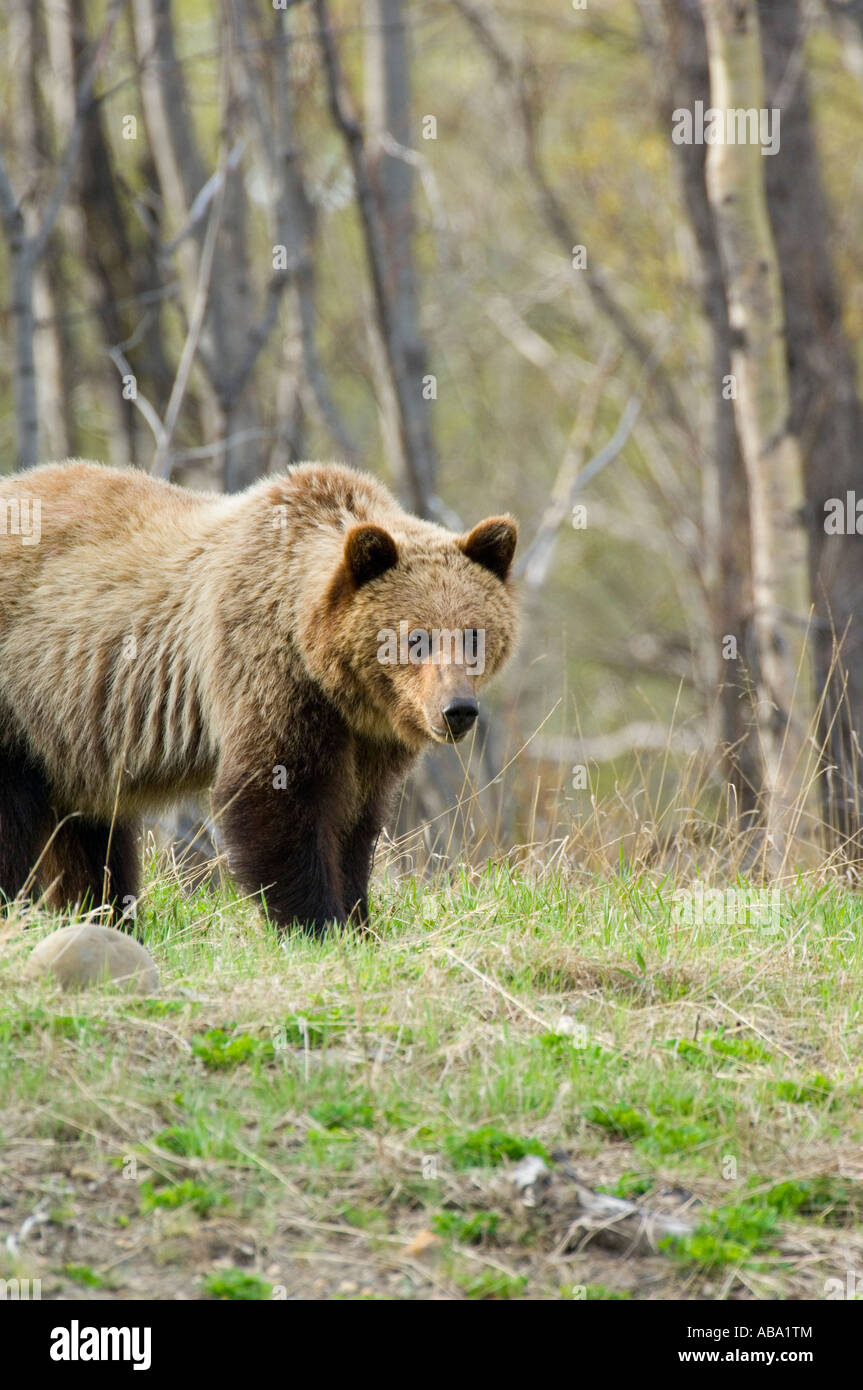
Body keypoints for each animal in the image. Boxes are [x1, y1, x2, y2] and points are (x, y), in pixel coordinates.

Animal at [0, 461, 518, 933]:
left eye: (473, 635)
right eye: (416, 639)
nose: (457, 710)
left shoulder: (367, 736)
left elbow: (356, 822)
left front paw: (358, 918)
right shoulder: (264, 672)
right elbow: (275, 799)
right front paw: (319, 924)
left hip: (70, 734)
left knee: (88, 833)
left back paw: (104, 914)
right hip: (21, 698)